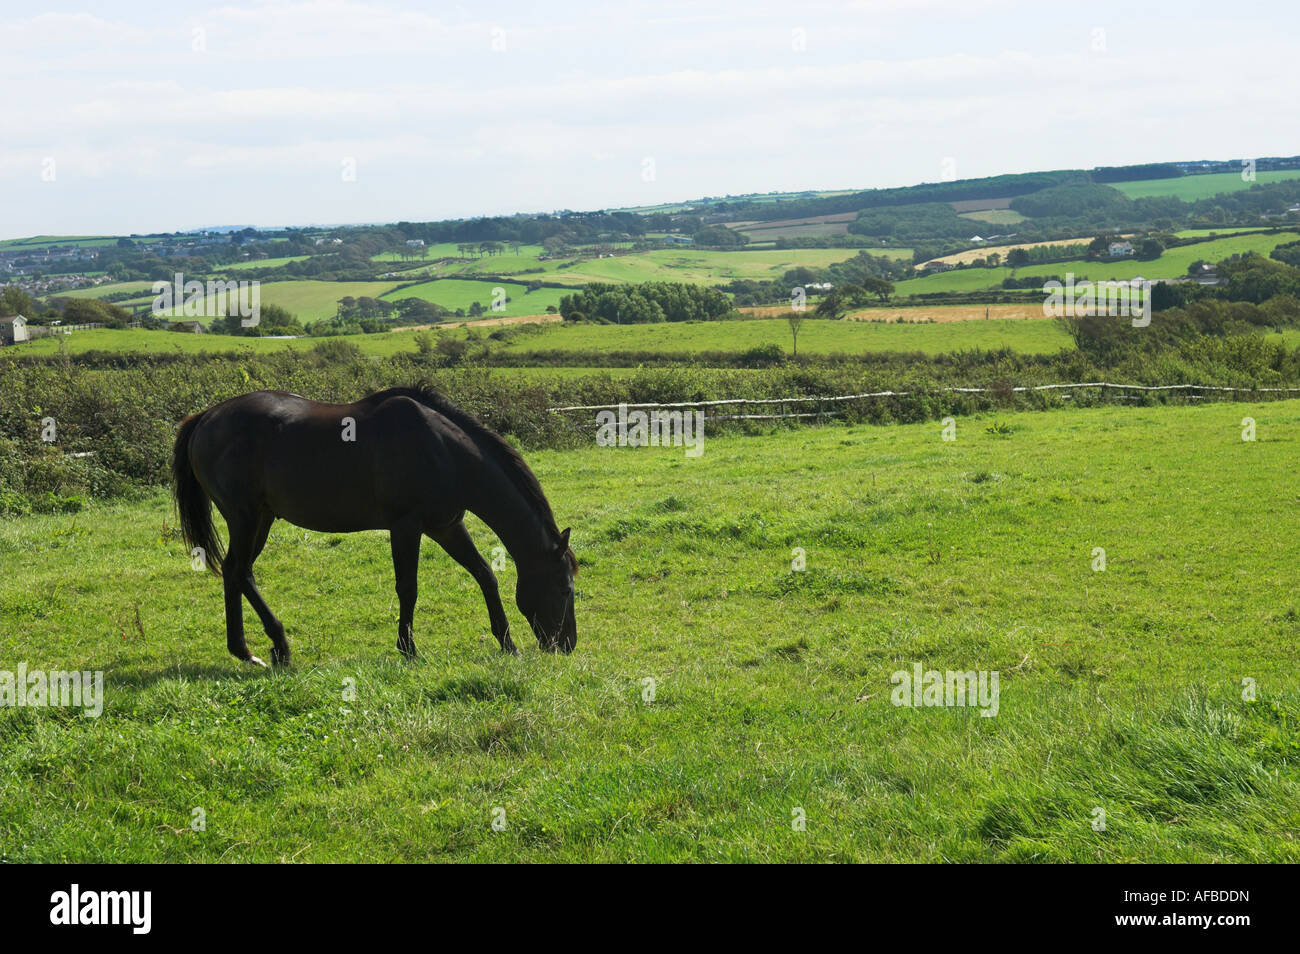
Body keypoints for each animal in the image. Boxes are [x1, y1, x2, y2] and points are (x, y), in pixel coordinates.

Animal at [171, 386, 577, 666]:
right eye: (564, 588)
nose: (567, 645)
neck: (444, 451)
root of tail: (205, 418)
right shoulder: (406, 526)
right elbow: (408, 587)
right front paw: (408, 649)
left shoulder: (446, 526)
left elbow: (485, 576)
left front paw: (507, 644)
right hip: (245, 517)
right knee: (237, 570)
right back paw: (266, 646)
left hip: (262, 518)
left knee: (238, 573)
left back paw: (258, 649)